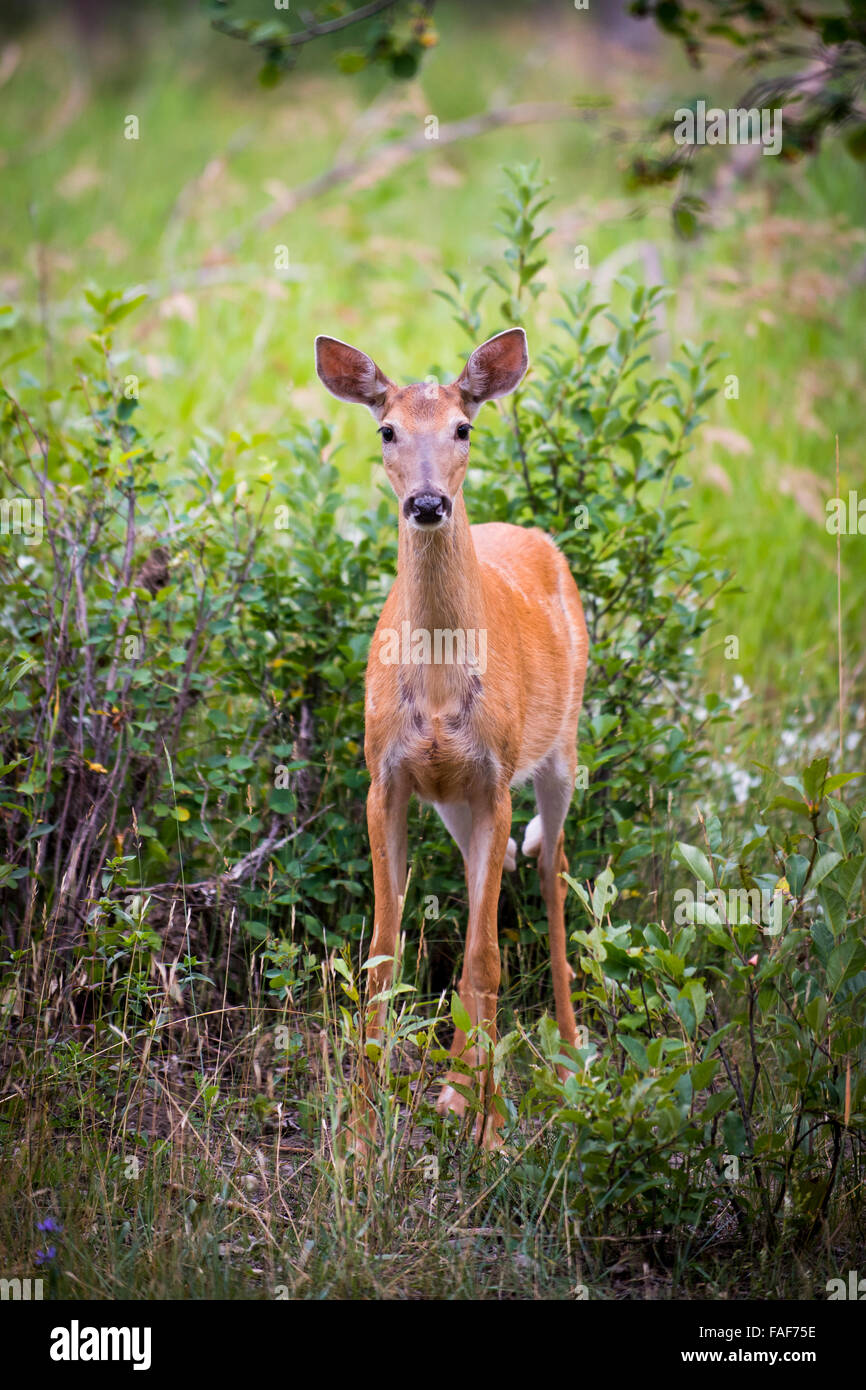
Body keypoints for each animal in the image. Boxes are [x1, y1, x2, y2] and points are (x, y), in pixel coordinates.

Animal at [315, 327, 588, 1147]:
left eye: (464, 428)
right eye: (386, 430)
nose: (429, 502)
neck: (437, 697)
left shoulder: (497, 777)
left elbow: (488, 959)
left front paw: (492, 1138)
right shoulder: (387, 777)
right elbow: (382, 956)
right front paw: (361, 1138)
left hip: (558, 752)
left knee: (551, 872)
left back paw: (568, 1068)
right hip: (456, 804)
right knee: (481, 894)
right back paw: (454, 1091)